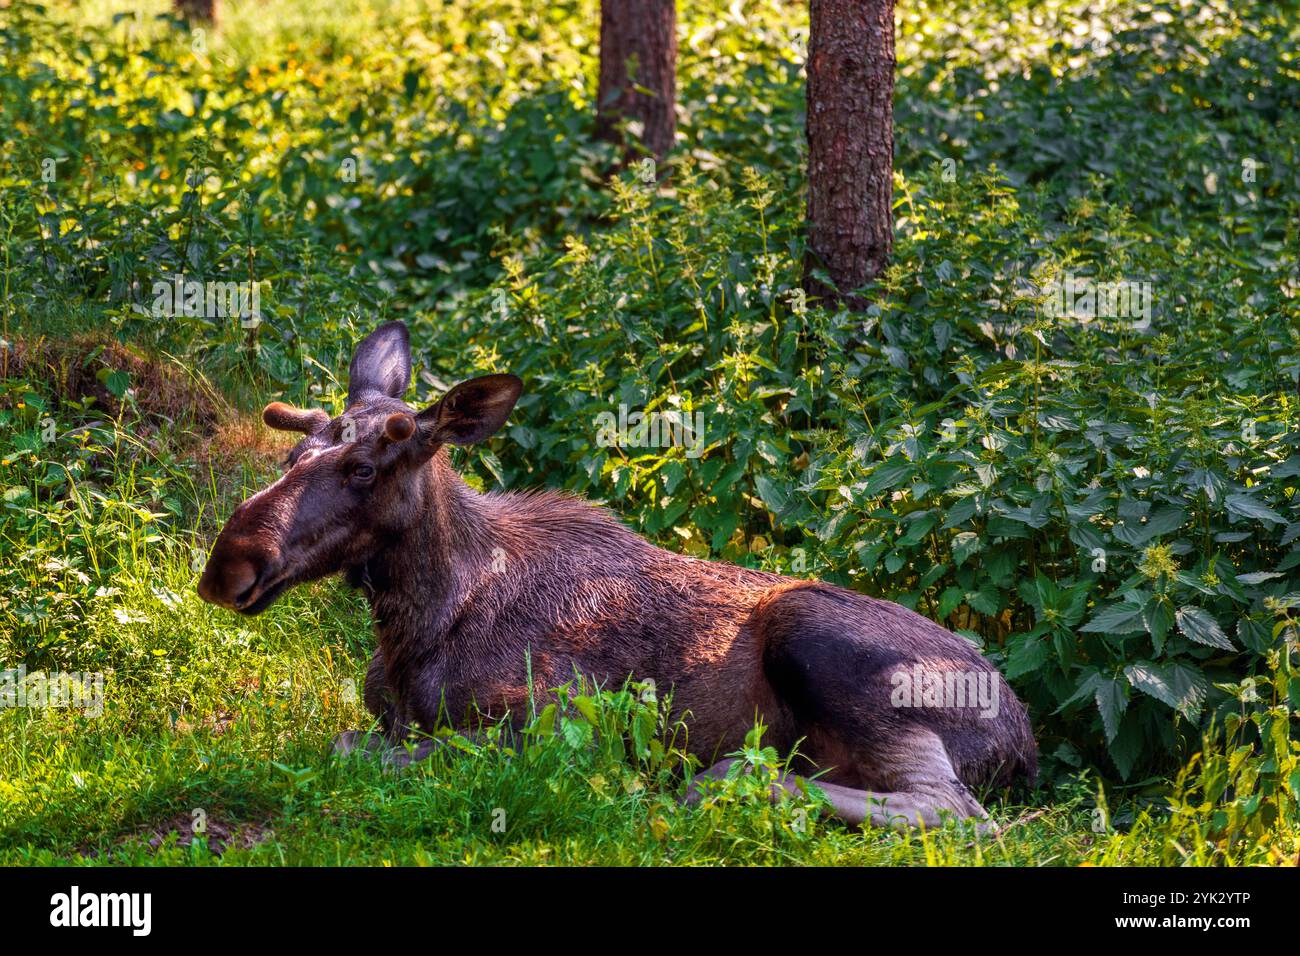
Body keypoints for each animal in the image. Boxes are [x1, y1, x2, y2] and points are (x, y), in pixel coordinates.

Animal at [198, 320, 1037, 829]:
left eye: (364, 467)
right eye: (291, 453)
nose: (228, 564)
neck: (419, 621)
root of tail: (1024, 740)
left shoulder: (563, 723)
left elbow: (364, 750)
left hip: (819, 636)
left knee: (954, 808)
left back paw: (727, 779)